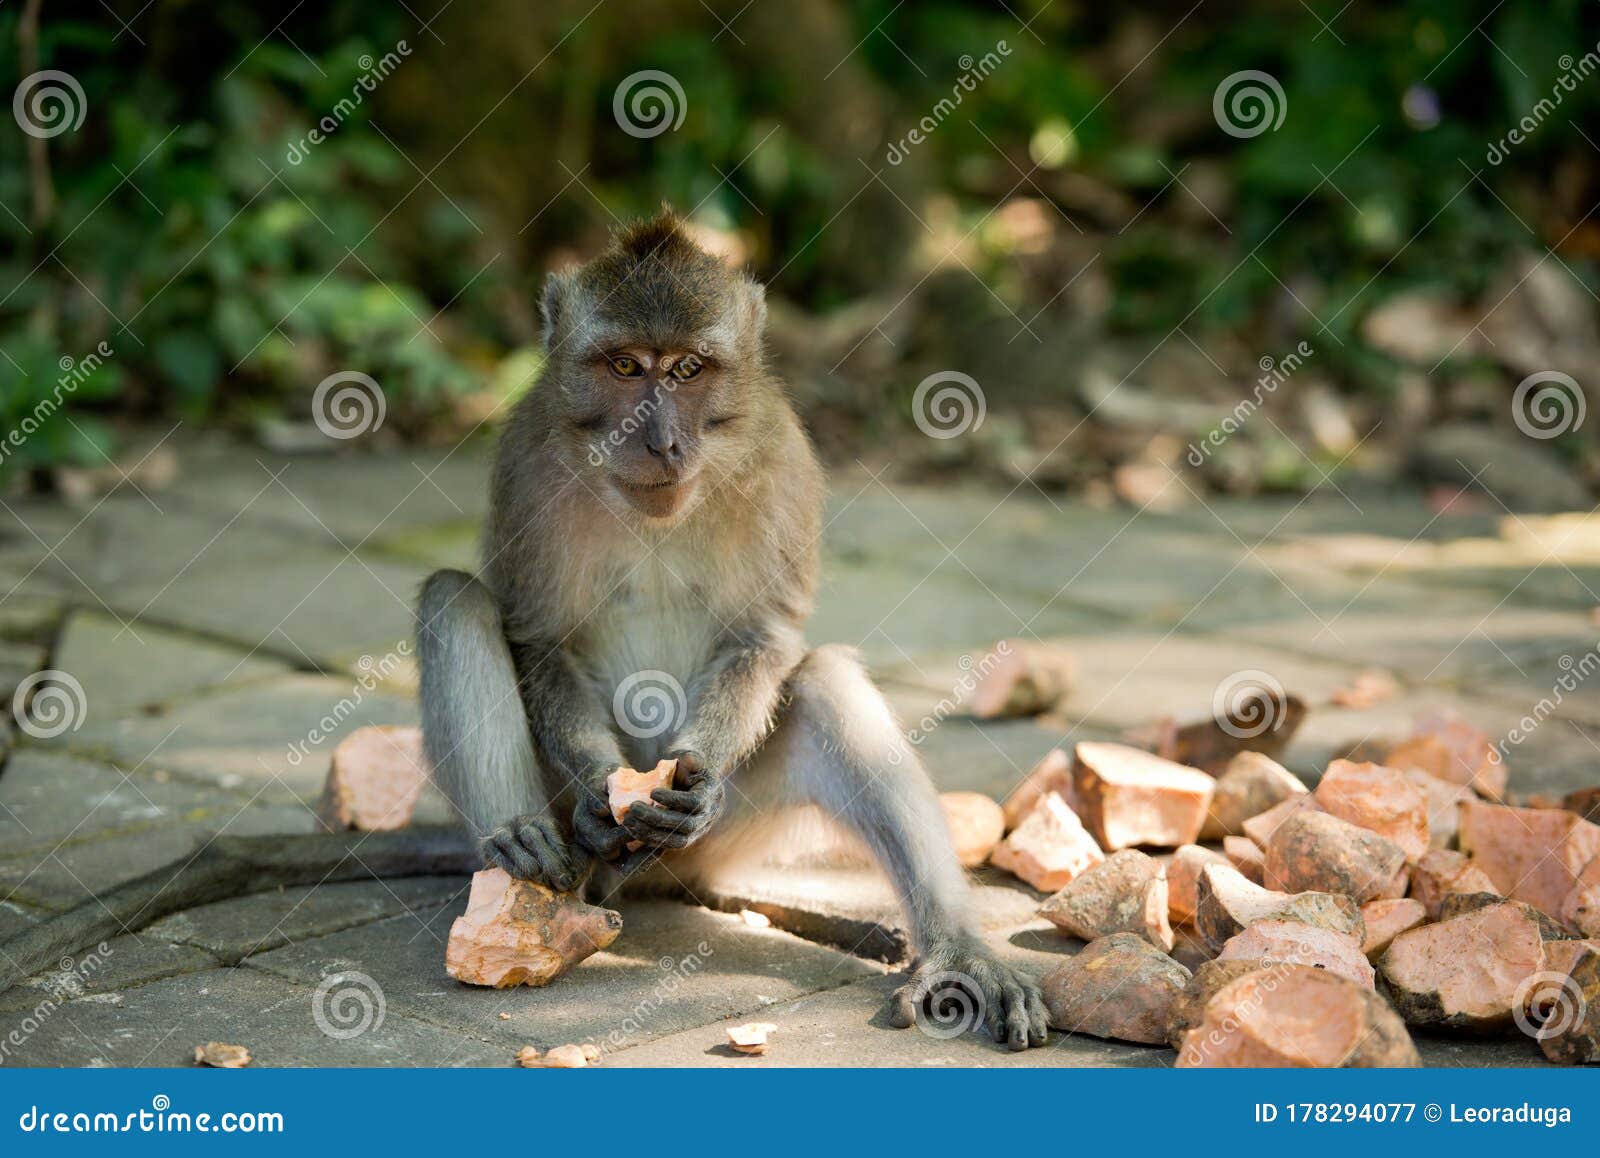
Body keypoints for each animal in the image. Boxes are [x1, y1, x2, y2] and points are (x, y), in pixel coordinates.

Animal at [415, 212, 1048, 1050]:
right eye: (626, 367)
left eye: (688, 369)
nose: (661, 441)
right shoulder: (526, 460)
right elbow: (538, 633)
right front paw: (596, 793)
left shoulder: (783, 458)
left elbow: (766, 636)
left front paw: (701, 782)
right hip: (593, 859)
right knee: (451, 601)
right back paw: (522, 843)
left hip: (728, 842)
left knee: (825, 683)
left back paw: (958, 954)